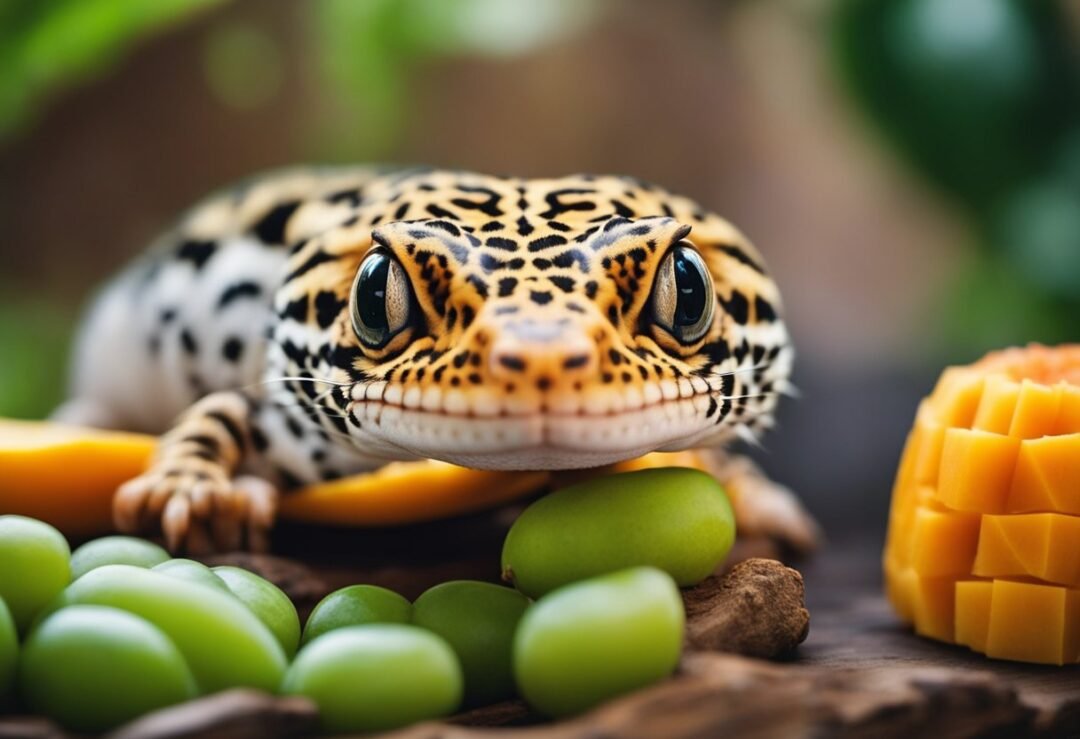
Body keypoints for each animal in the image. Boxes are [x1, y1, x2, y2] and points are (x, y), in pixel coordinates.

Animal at [55, 166, 819, 554]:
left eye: (686, 288)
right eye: (374, 294)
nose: (542, 360)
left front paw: (748, 491)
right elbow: (217, 412)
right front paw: (186, 486)